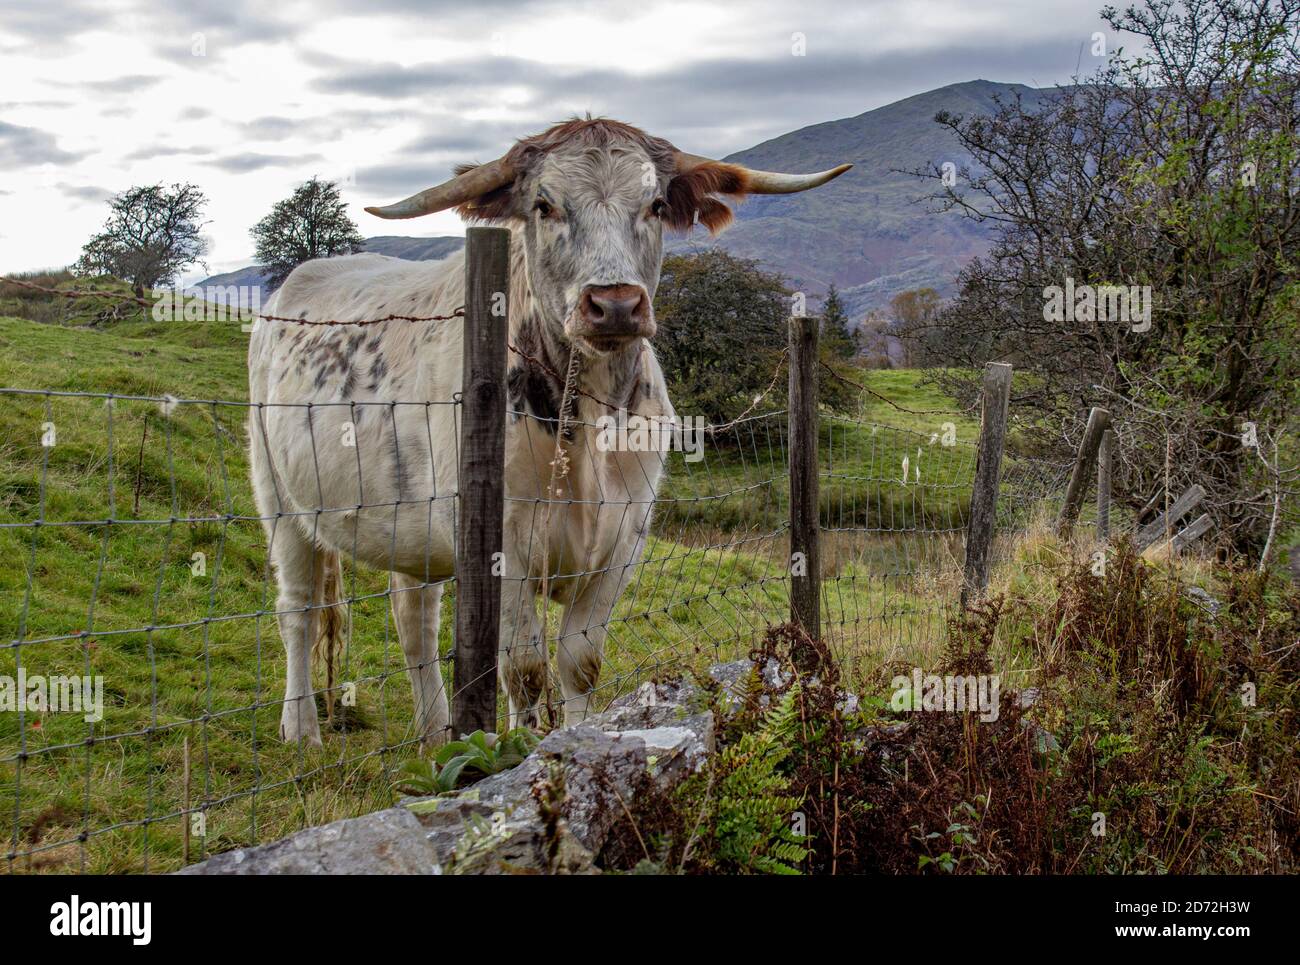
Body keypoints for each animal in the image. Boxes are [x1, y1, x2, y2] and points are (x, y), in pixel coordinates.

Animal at [247, 117, 850, 747]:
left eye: (657, 204)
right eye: (543, 204)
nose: (615, 304)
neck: (590, 423)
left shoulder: (624, 541)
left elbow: (578, 663)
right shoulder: (502, 547)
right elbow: (524, 669)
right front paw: (525, 750)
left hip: (407, 527)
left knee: (413, 620)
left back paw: (436, 732)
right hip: (278, 499)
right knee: (298, 610)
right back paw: (302, 728)